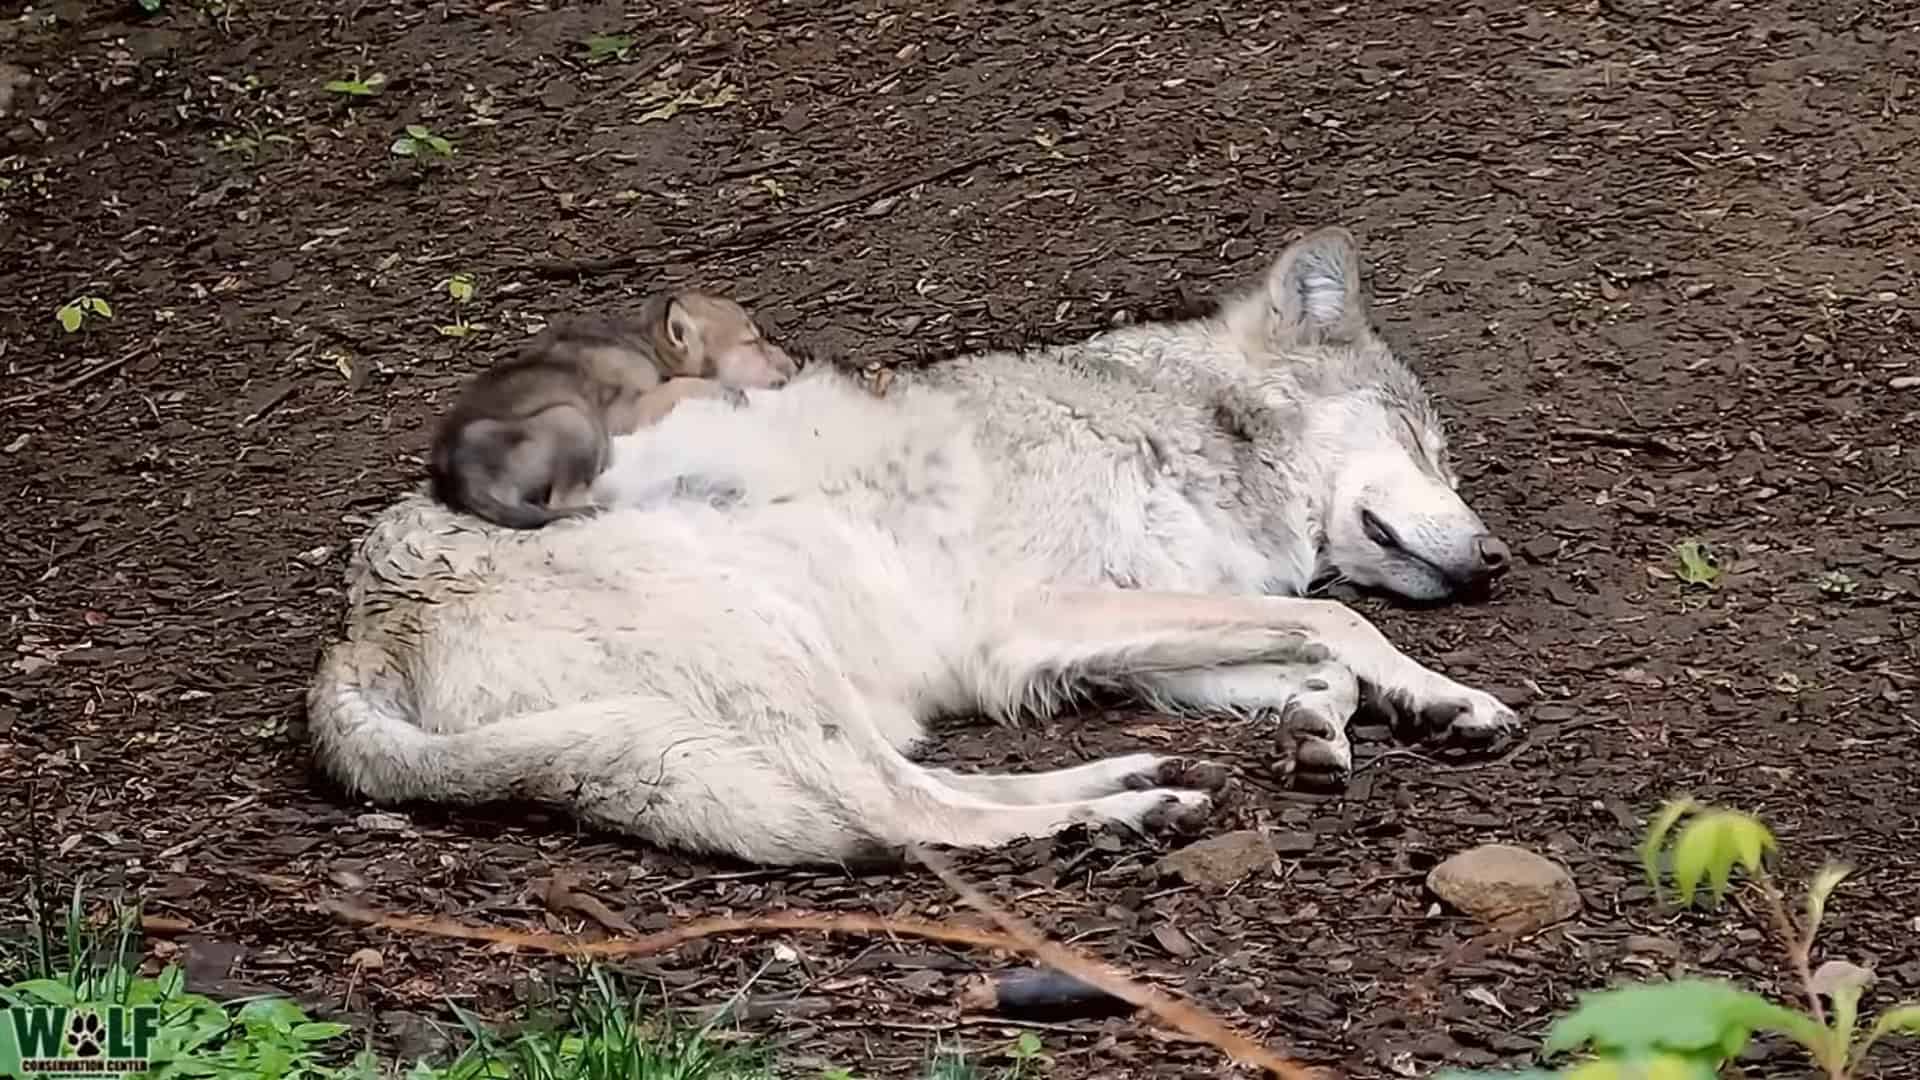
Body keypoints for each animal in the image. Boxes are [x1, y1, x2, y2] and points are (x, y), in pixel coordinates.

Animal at [306, 226, 1519, 867]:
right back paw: (1124, 811)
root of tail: (354, 631)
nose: (1498, 557)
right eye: (1430, 446)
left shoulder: (1102, 640)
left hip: (831, 695)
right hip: (772, 656)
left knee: (918, 787)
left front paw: (1345, 722)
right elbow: (1334, 615)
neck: (1172, 429)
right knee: (894, 817)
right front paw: (1450, 695)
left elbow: (1314, 656)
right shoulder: (1044, 619)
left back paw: (1134, 777)